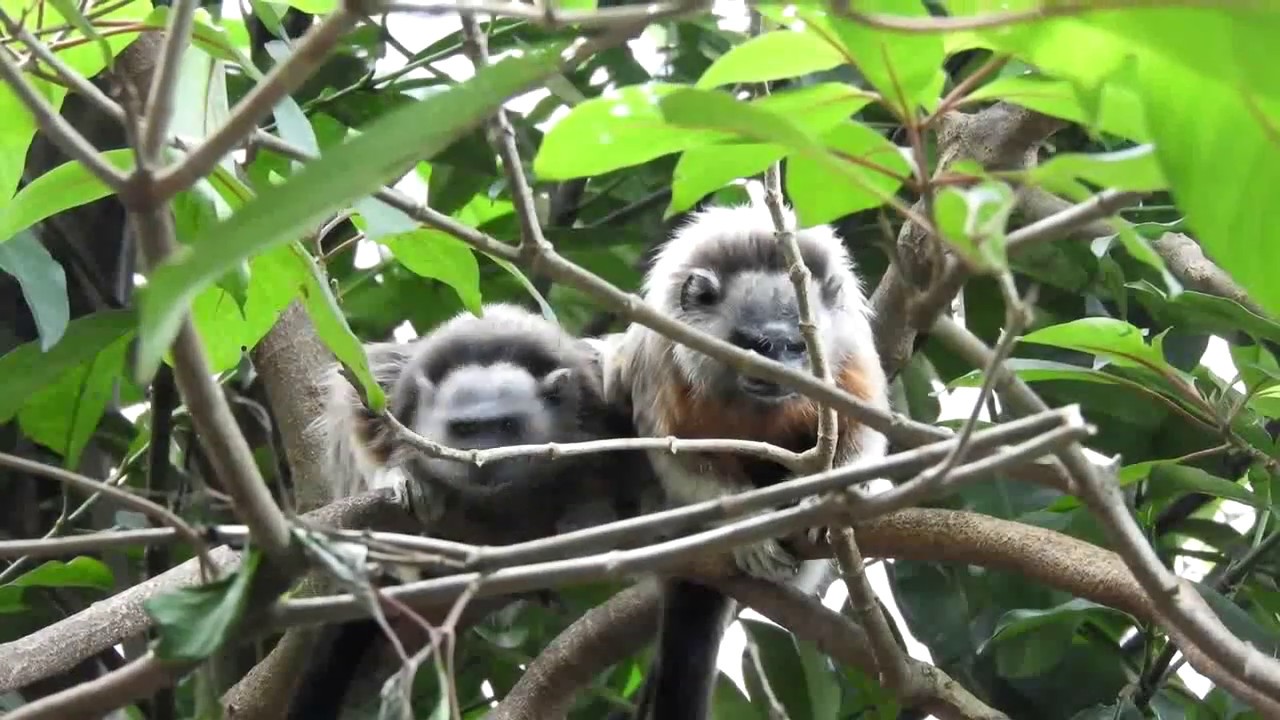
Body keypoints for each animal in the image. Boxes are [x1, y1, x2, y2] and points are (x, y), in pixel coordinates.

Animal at [288, 303, 656, 720]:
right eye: (464, 429)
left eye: (507, 425)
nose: (482, 459)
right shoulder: (391, 387)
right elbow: (357, 407)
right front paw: (402, 475)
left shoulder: (595, 387)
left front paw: (585, 510)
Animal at [604, 202, 890, 720]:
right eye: (755, 344)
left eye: (797, 345)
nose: (776, 371)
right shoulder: (658, 356)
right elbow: (672, 457)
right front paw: (751, 528)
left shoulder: (850, 346)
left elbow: (866, 430)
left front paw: (832, 498)